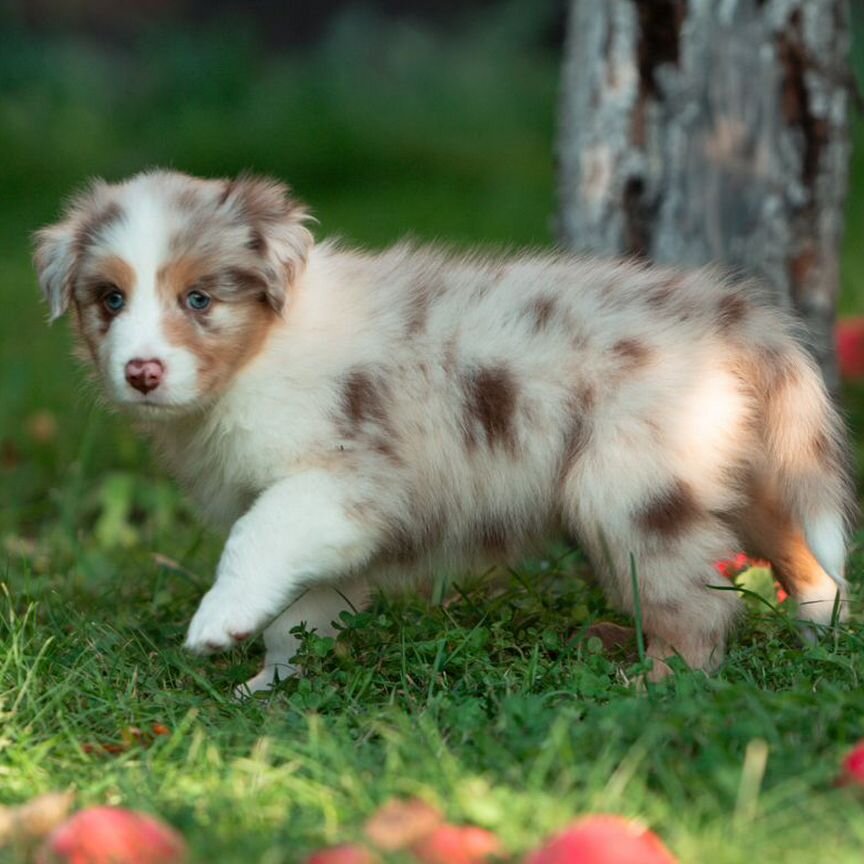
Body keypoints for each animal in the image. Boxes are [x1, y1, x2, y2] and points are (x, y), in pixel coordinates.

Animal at [33, 170, 852, 696]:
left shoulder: (344, 482)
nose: (141, 371)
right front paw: (271, 684)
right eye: (109, 299)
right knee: (805, 555)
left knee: (703, 604)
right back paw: (824, 640)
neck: (263, 350)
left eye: (199, 299)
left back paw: (655, 681)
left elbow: (254, 540)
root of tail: (728, 314)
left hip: (627, 489)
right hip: (736, 470)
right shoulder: (331, 522)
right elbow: (302, 609)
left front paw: (218, 624)